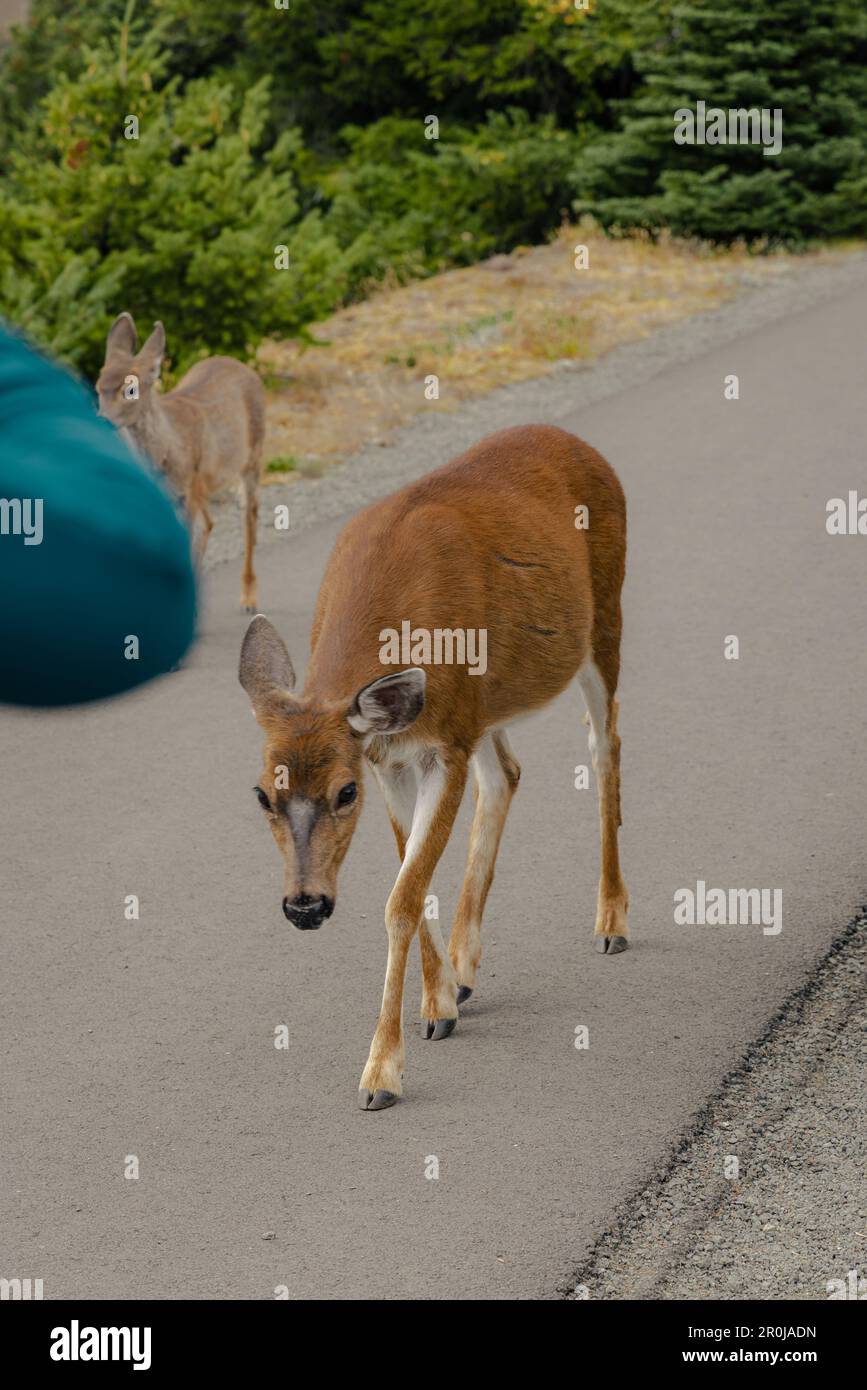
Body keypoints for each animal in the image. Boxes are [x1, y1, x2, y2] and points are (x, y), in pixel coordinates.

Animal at [96, 312, 265, 611]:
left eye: (130, 389)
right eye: (98, 388)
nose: (102, 420)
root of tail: (240, 364)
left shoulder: (185, 492)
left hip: (252, 456)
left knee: (249, 516)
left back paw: (248, 597)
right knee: (209, 523)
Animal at [239, 423, 628, 1111]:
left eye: (344, 793)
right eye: (262, 795)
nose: (305, 906)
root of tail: (579, 442)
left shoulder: (443, 742)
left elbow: (401, 897)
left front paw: (381, 1073)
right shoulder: (390, 752)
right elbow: (410, 877)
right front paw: (440, 1002)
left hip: (604, 617)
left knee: (604, 748)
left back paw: (611, 920)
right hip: (490, 702)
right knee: (508, 772)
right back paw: (466, 968)